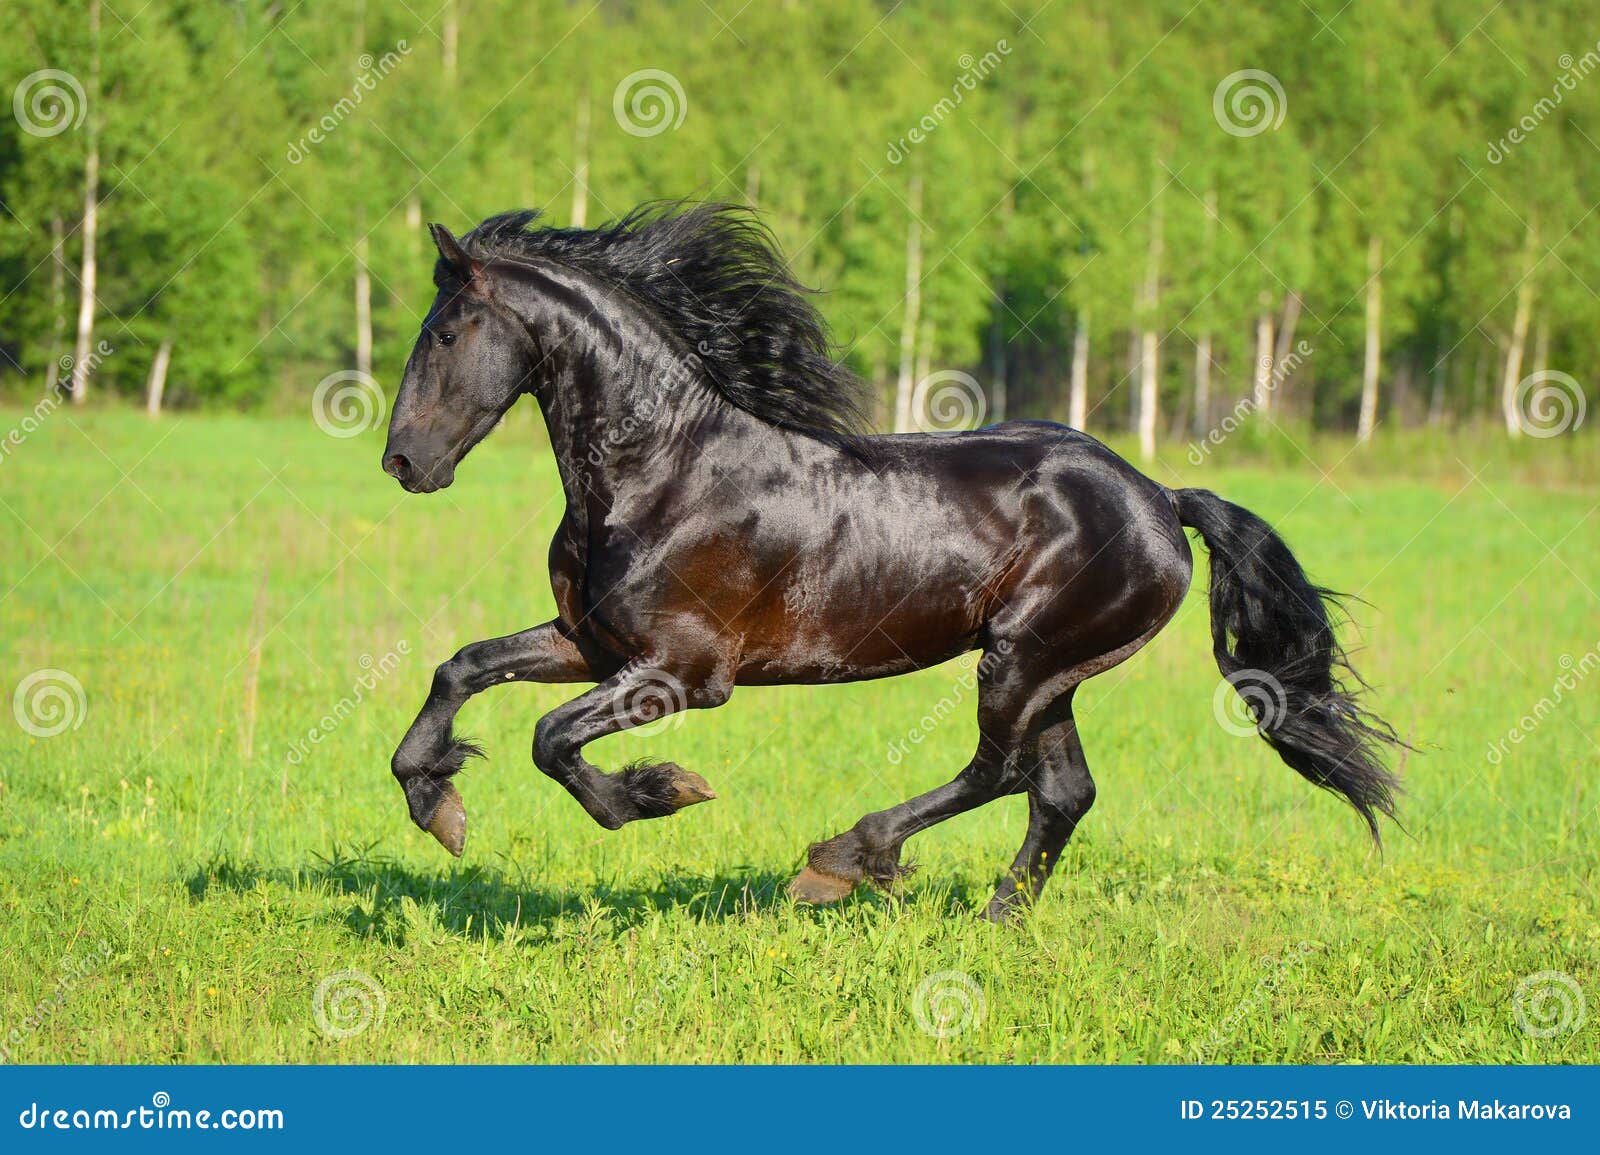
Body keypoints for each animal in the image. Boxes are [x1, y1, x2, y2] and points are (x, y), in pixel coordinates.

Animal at [381, 203, 1401, 922]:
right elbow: (461, 666)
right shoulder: (593, 643)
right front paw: (437, 802)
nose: (402, 462)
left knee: (1001, 771)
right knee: (1060, 790)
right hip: (1055, 670)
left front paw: (659, 792)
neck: (664, 470)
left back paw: (840, 861)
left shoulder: (683, 672)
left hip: (1023, 660)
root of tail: (1159, 497)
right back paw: (997, 919)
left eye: (444, 332)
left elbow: (552, 737)